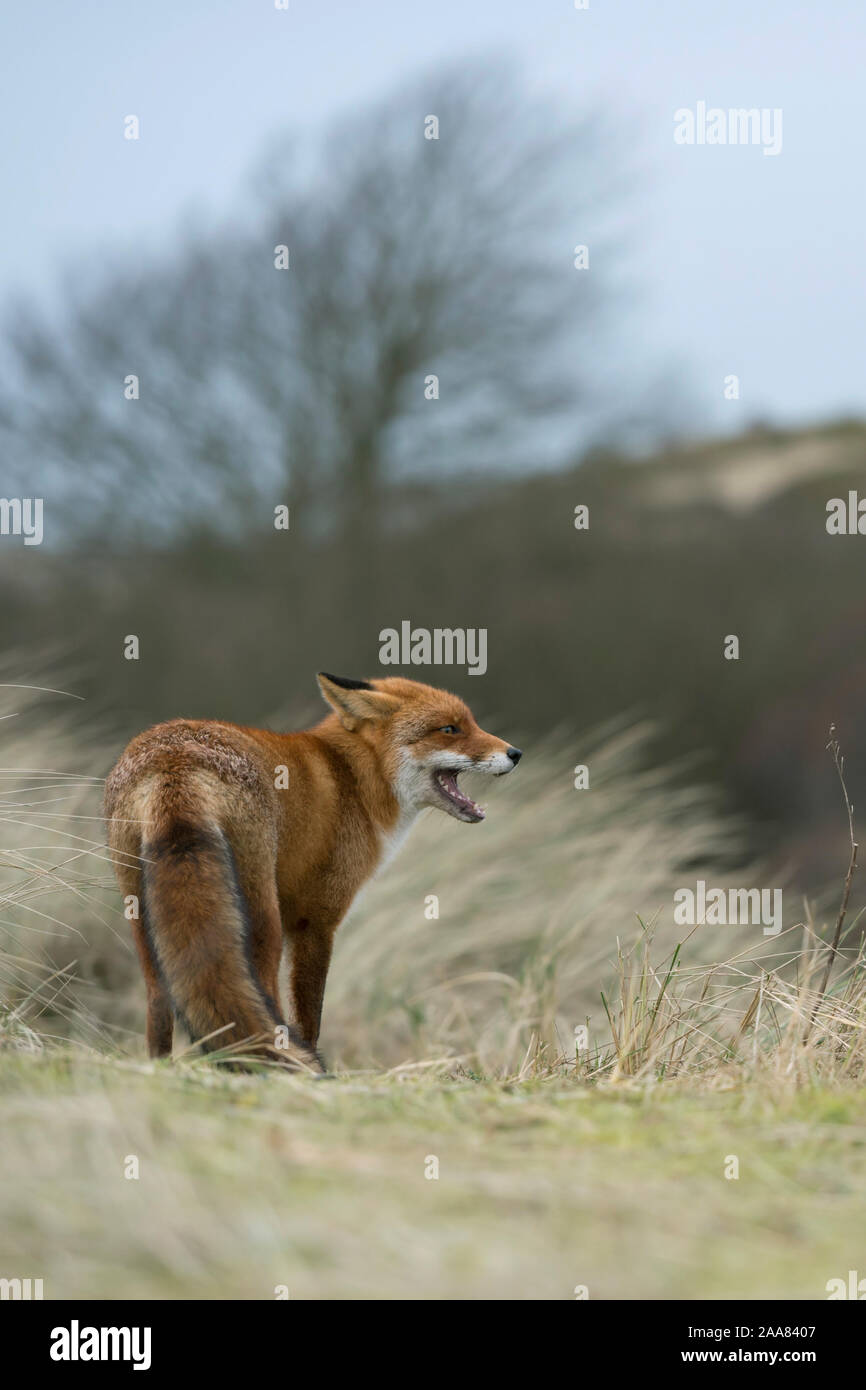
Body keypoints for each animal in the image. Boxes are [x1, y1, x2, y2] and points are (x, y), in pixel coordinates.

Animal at [104, 672, 522, 1073]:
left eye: (470, 723)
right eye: (449, 729)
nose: (515, 753)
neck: (355, 777)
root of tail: (175, 761)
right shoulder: (316, 920)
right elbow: (309, 1017)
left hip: (145, 917)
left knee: (159, 1002)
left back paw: (160, 1070)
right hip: (264, 922)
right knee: (264, 997)